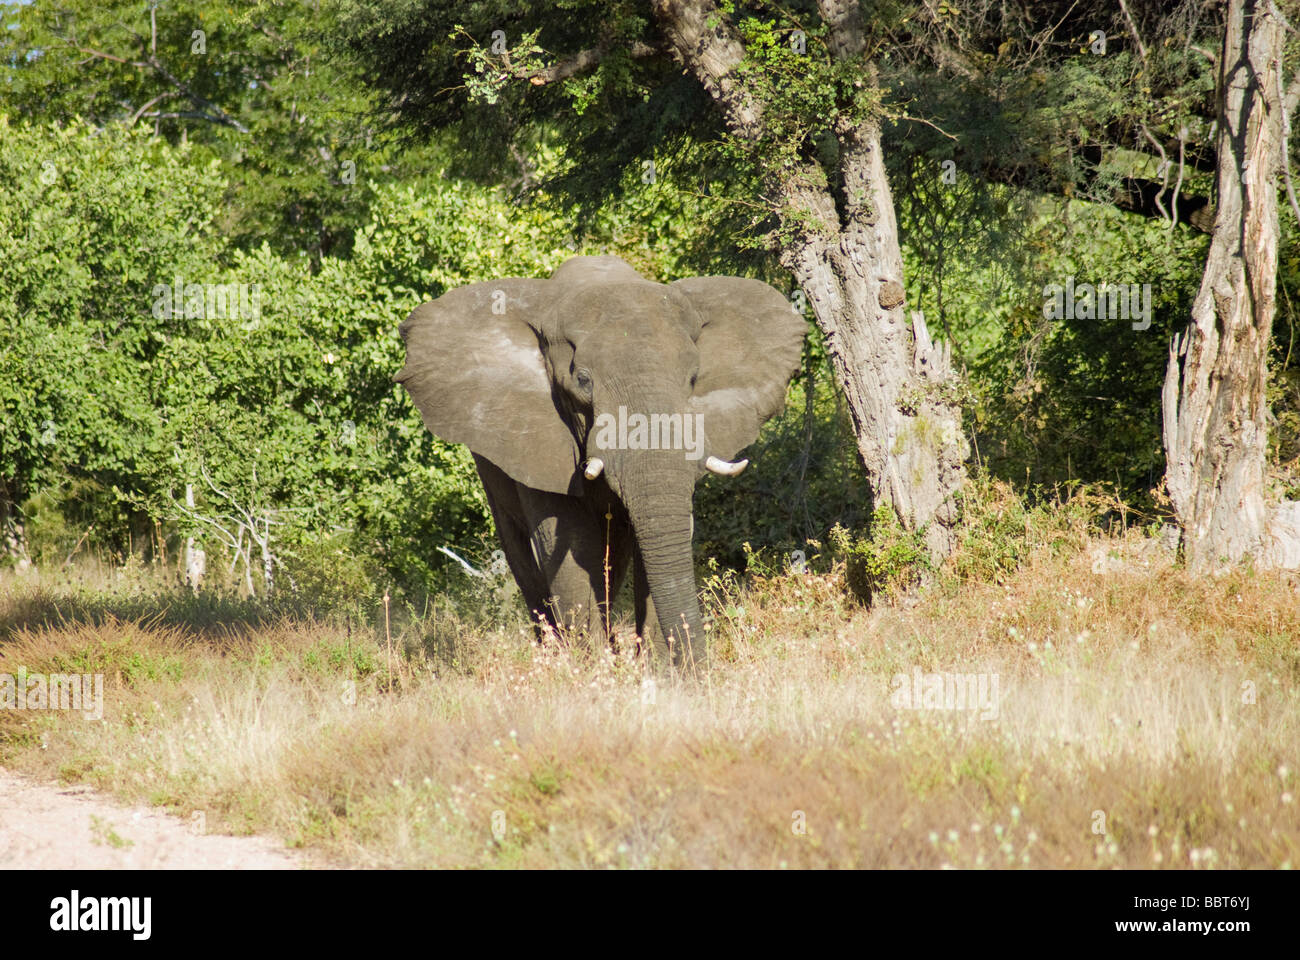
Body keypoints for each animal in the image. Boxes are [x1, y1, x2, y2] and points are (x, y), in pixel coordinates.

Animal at [395, 255, 806, 668]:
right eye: (582, 380)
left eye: (693, 379)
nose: (698, 672)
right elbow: (570, 544)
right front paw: (595, 670)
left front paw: (655, 671)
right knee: (521, 554)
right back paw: (553, 654)